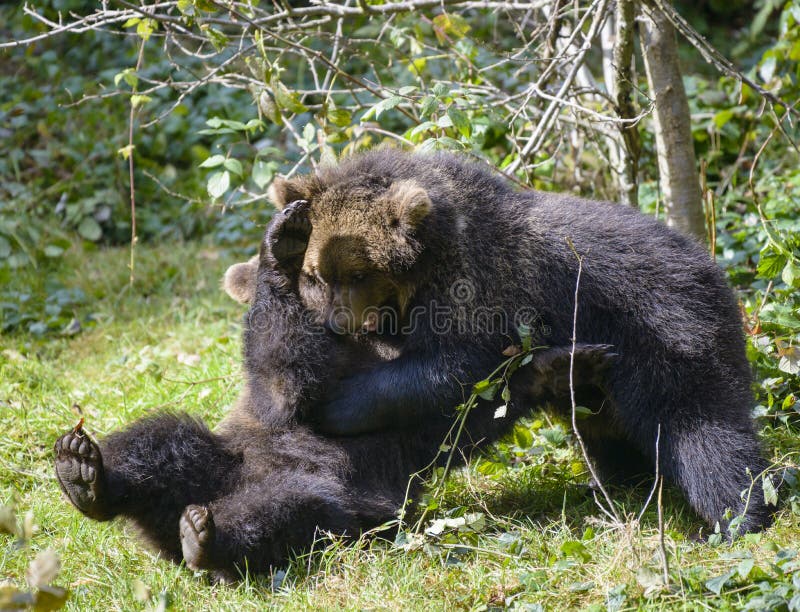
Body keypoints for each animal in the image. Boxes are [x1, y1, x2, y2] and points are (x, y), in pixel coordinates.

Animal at [54, 192, 613, 581]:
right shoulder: (304, 370)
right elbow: (282, 381)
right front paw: (281, 246)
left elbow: (466, 401)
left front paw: (568, 363)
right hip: (231, 451)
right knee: (164, 443)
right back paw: (86, 473)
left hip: (337, 503)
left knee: (286, 510)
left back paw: (203, 538)